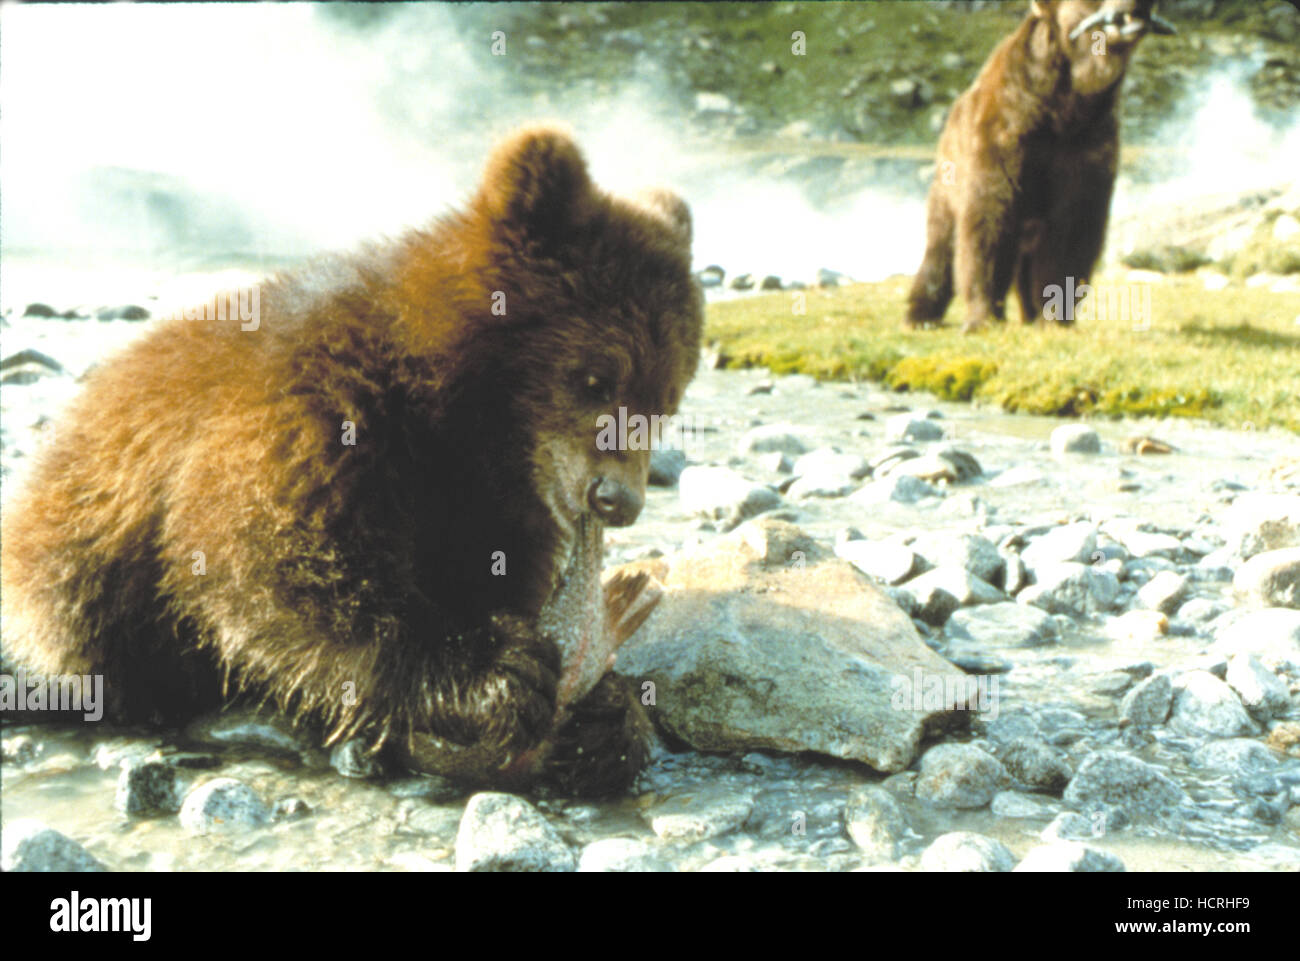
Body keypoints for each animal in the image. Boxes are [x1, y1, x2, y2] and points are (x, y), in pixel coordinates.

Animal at [0, 126, 703, 797]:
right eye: (594, 378)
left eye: (665, 401)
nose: (616, 500)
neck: (458, 413)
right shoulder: (313, 418)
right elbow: (268, 562)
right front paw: (497, 669)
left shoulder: (493, 504)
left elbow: (498, 575)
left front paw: (606, 719)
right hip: (75, 583)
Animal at [904, 0, 1175, 332]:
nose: (1143, 5)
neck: (1064, 104)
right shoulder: (1007, 133)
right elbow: (988, 225)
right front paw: (983, 316)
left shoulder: (1086, 146)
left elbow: (1071, 231)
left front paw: (1056, 317)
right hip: (949, 180)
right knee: (942, 246)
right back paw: (920, 314)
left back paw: (1030, 315)